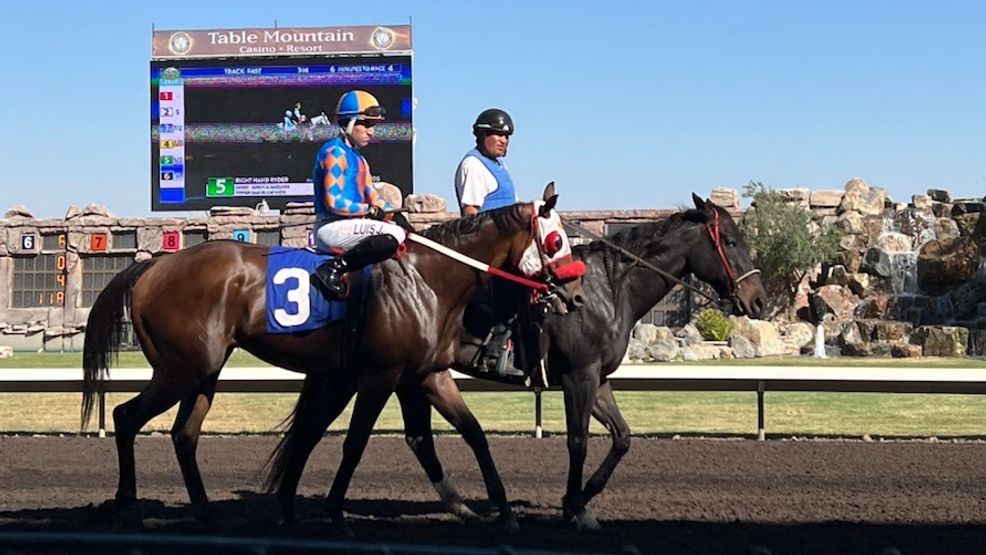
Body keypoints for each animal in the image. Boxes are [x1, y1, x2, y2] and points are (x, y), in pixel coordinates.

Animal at [81, 185, 586, 532]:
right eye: (556, 241)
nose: (576, 296)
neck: (428, 278)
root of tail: (153, 264)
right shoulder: (380, 376)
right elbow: (354, 443)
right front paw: (335, 513)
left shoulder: (428, 375)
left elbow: (474, 434)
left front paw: (501, 513)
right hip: (180, 369)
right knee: (126, 417)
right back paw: (124, 501)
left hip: (204, 370)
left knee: (184, 434)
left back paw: (205, 514)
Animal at [268, 193, 767, 530]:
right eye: (733, 240)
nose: (758, 300)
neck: (606, 289)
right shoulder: (579, 377)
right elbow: (578, 442)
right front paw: (575, 506)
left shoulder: (599, 379)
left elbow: (623, 438)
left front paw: (581, 497)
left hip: (407, 374)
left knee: (405, 437)